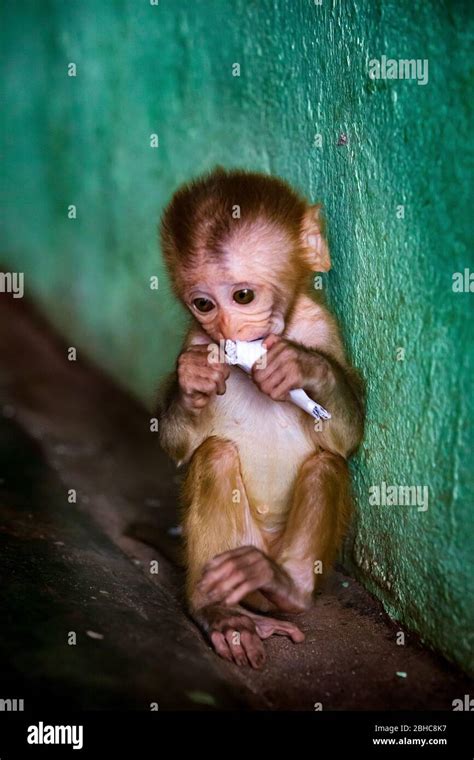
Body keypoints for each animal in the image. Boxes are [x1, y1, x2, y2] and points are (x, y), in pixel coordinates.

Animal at [158, 167, 364, 669]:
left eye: (243, 296)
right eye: (203, 304)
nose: (229, 331)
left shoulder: (323, 327)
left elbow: (345, 438)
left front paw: (301, 367)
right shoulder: (197, 339)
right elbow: (179, 448)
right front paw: (193, 379)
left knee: (326, 465)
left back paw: (288, 587)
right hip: (231, 556)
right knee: (213, 457)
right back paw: (220, 612)